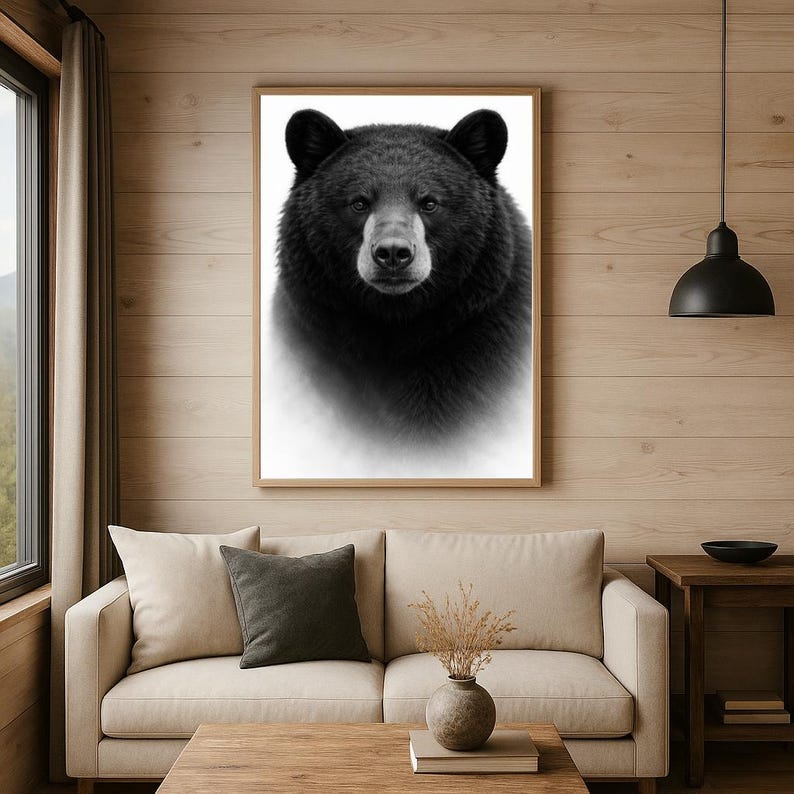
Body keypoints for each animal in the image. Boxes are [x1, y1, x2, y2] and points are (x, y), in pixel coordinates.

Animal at [273, 107, 532, 445]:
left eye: (430, 202)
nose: (393, 253)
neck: (395, 324)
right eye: (359, 202)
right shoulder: (311, 333)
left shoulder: (484, 336)